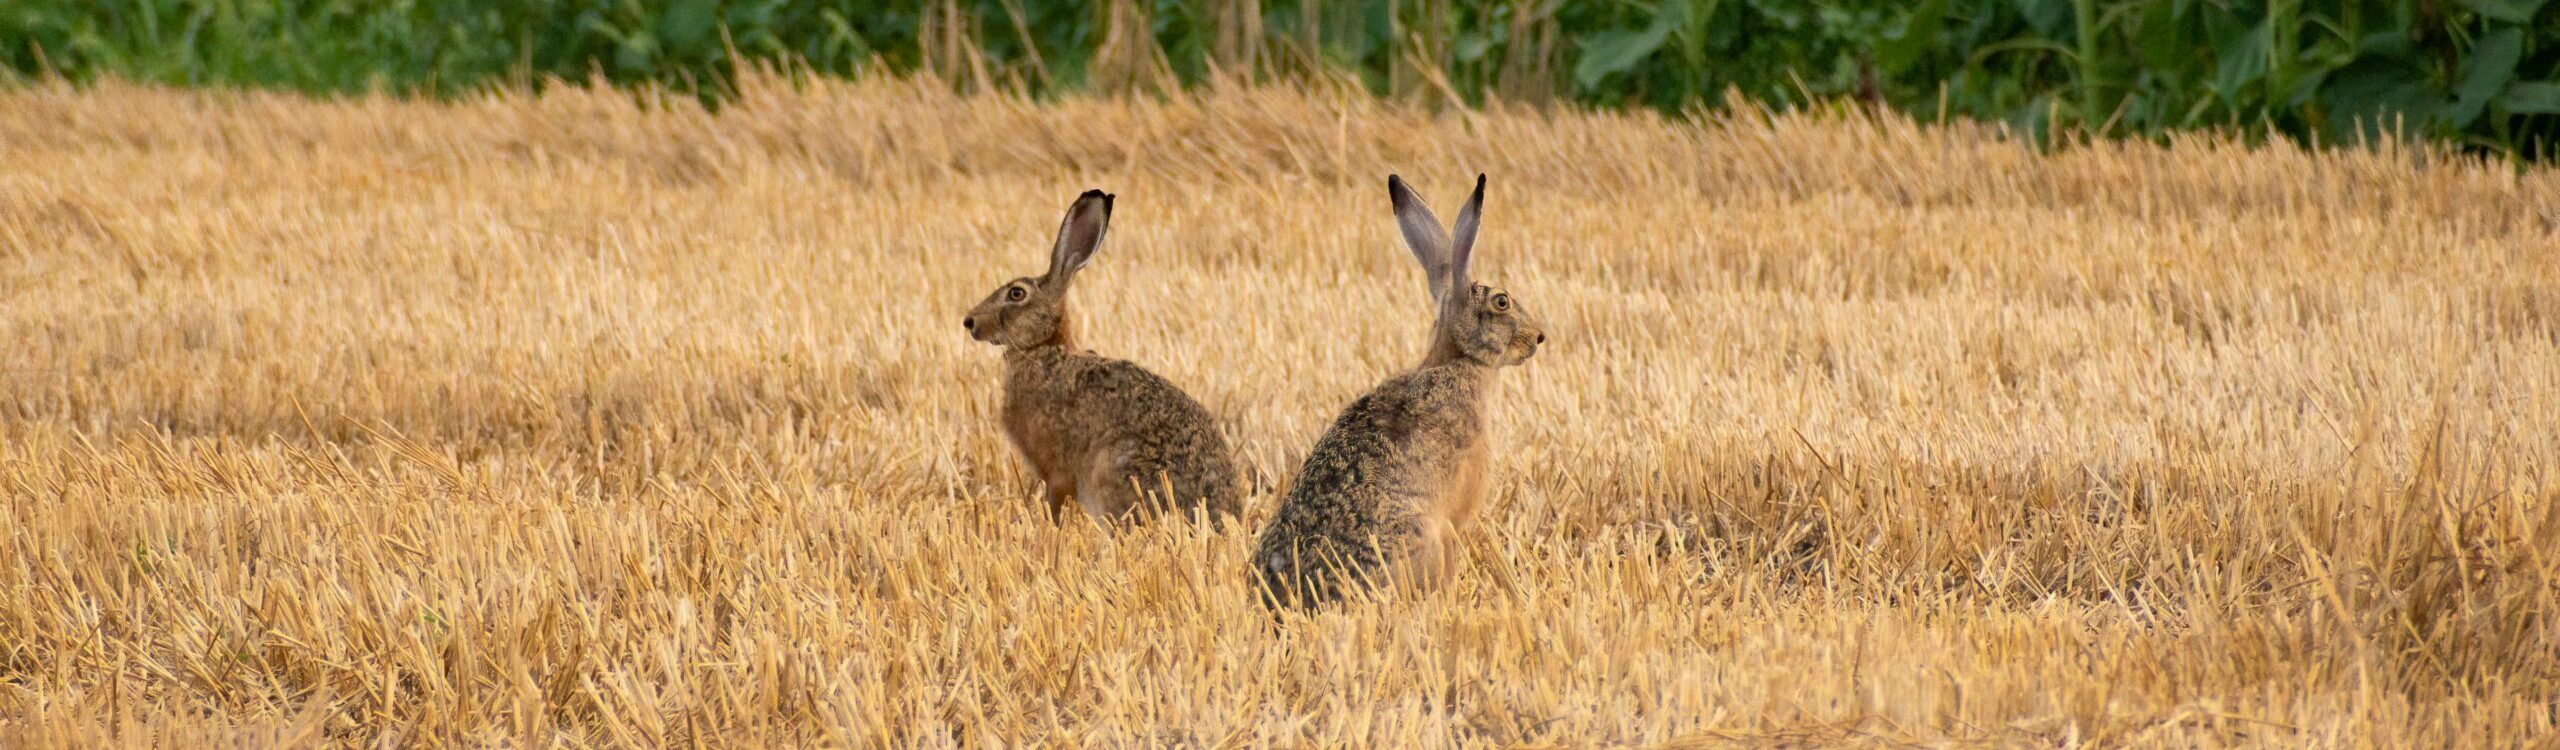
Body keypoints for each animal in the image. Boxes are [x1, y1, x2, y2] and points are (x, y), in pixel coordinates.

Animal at [964, 189, 1242, 526]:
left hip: (1112, 469)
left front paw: (1047, 528)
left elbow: (1054, 503)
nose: (970, 322)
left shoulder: (1056, 470)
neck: (1044, 349)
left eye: (1016, 294)